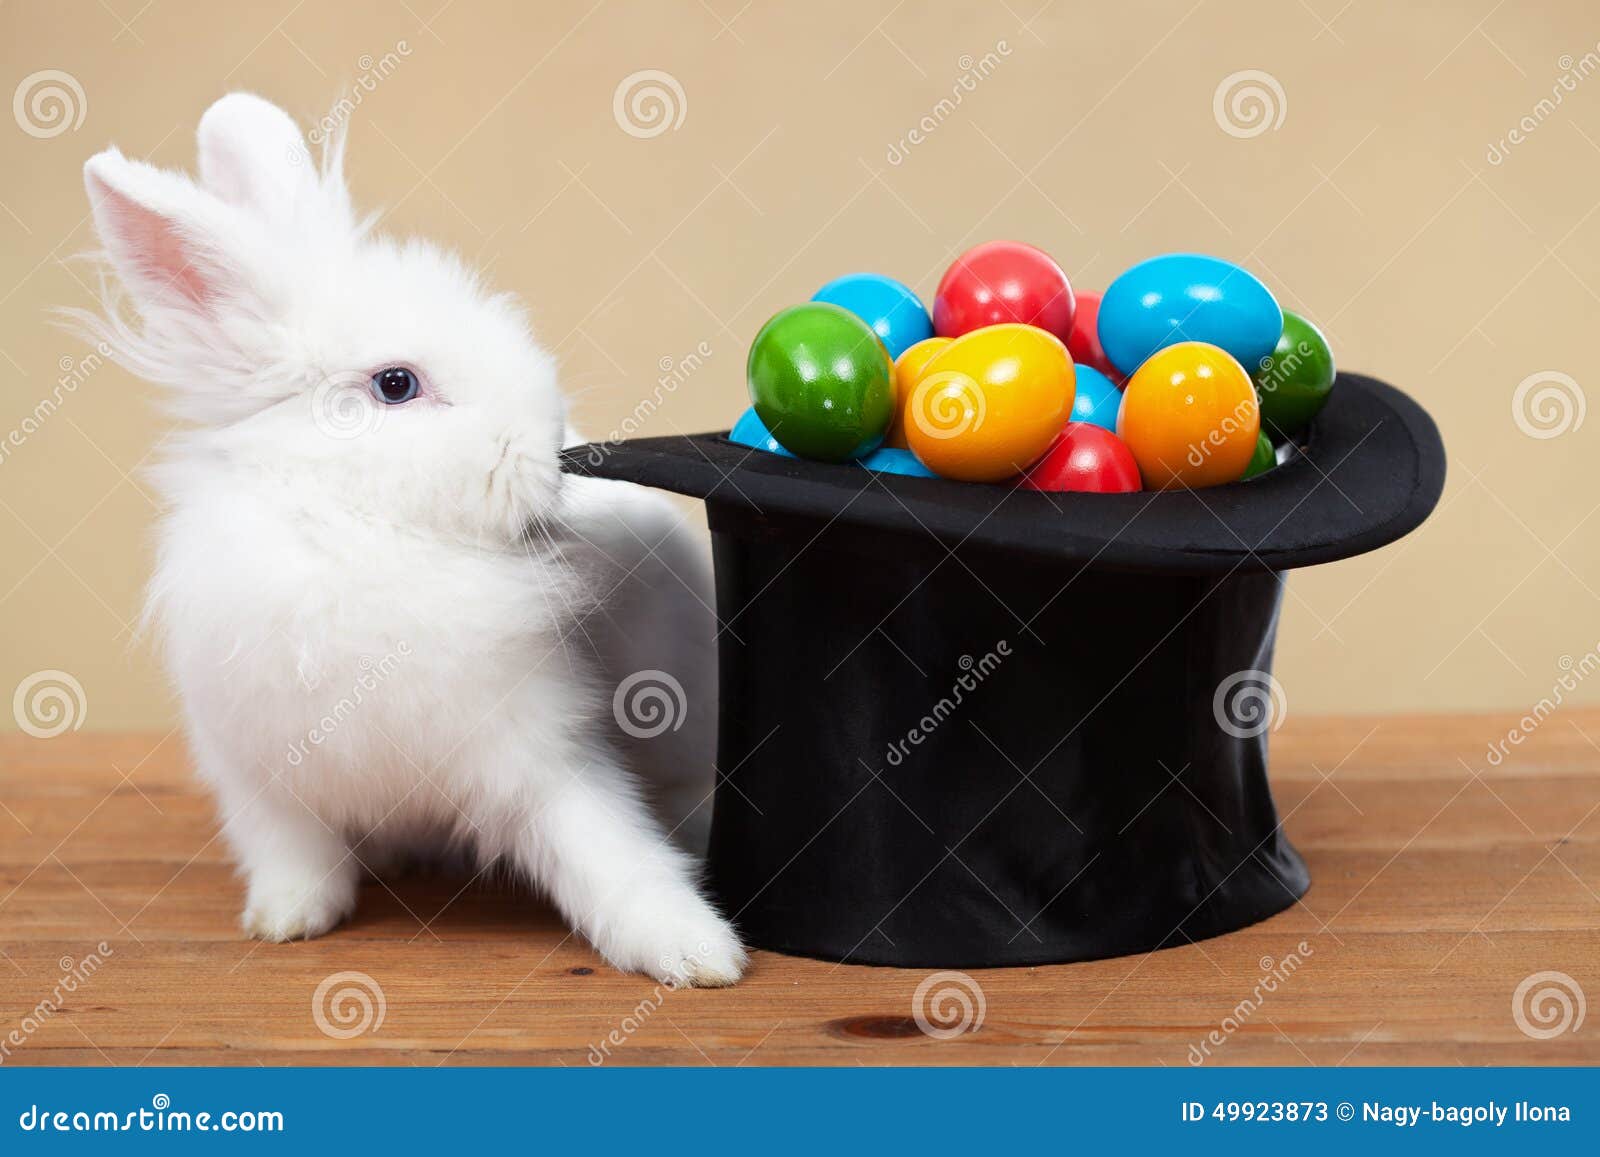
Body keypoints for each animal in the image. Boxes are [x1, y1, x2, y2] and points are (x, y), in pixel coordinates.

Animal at [69, 92, 745, 987]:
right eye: (396, 384)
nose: (546, 440)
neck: (358, 529)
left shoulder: (547, 755)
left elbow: (609, 852)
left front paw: (698, 953)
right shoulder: (260, 775)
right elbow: (293, 855)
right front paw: (287, 920)